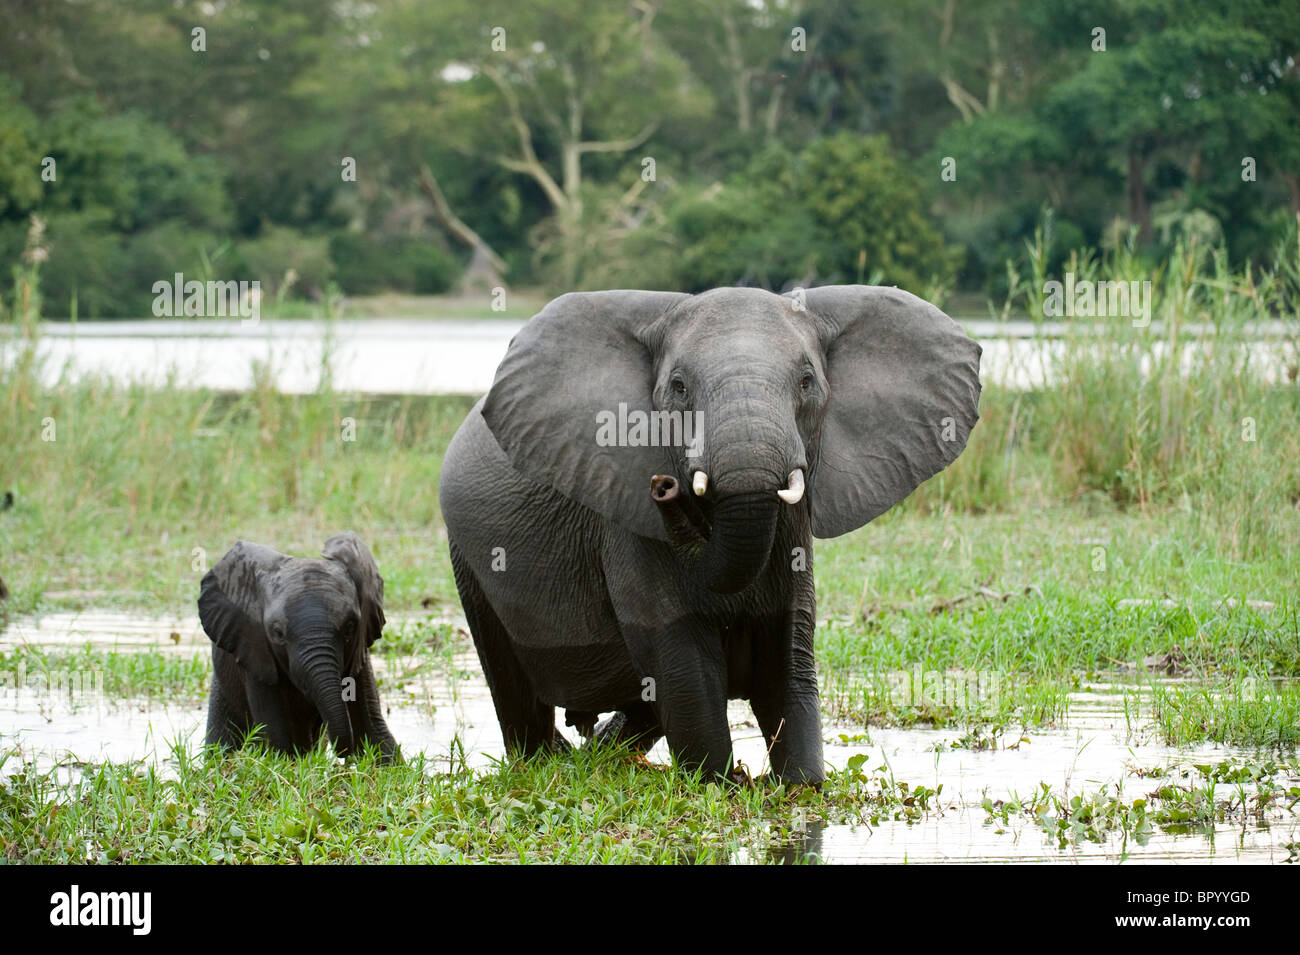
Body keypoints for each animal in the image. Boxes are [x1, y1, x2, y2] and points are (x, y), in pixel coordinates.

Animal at [198, 531, 399, 761]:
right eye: (277, 633)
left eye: (350, 627)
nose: (344, 754)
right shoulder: (256, 652)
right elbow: (278, 738)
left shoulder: (360, 653)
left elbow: (373, 730)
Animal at [439, 285, 981, 783]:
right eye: (679, 387)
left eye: (807, 382)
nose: (665, 487)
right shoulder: (624, 523)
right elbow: (685, 668)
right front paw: (718, 785)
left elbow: (787, 661)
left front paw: (797, 786)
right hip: (468, 557)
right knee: (514, 689)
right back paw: (549, 762)